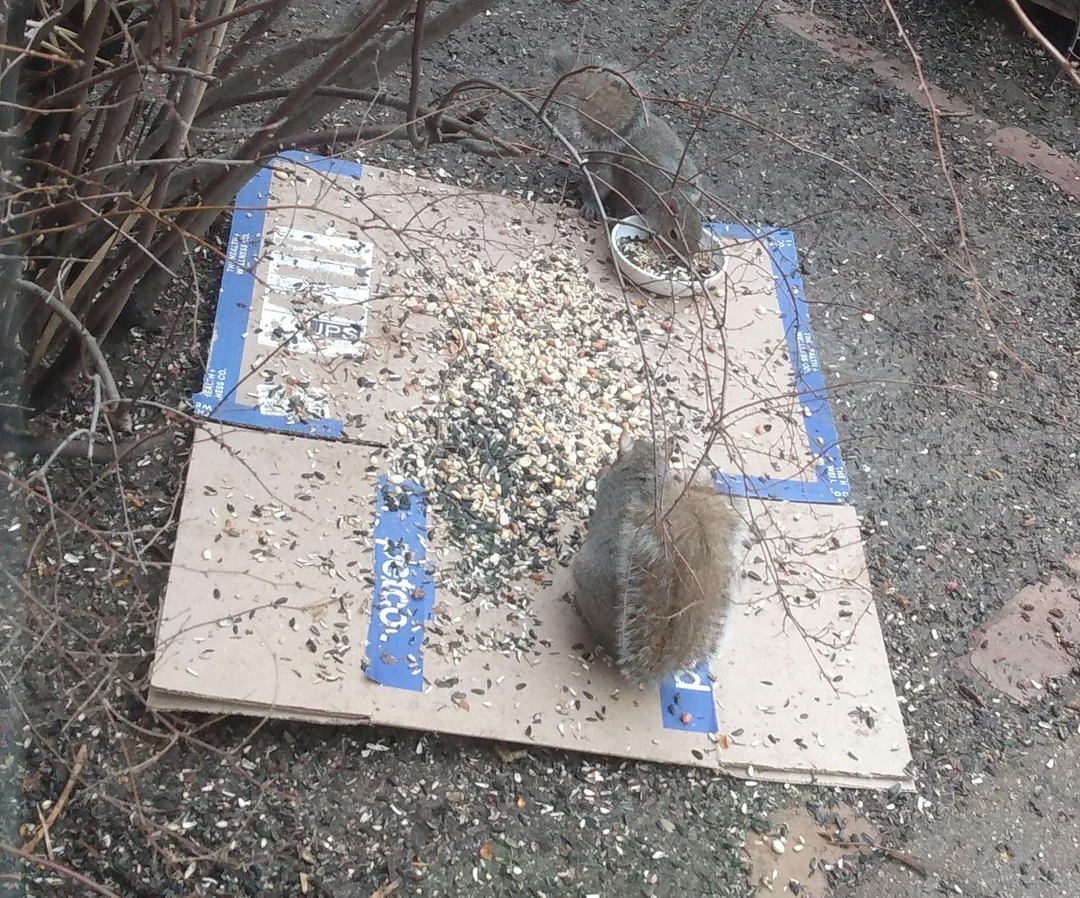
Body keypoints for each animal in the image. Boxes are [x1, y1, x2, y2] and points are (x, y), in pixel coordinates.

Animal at [549, 43, 706, 260]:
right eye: (673, 234)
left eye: (699, 232)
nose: (687, 259)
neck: (677, 190)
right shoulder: (637, 183)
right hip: (604, 173)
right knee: (595, 187)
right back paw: (592, 205)